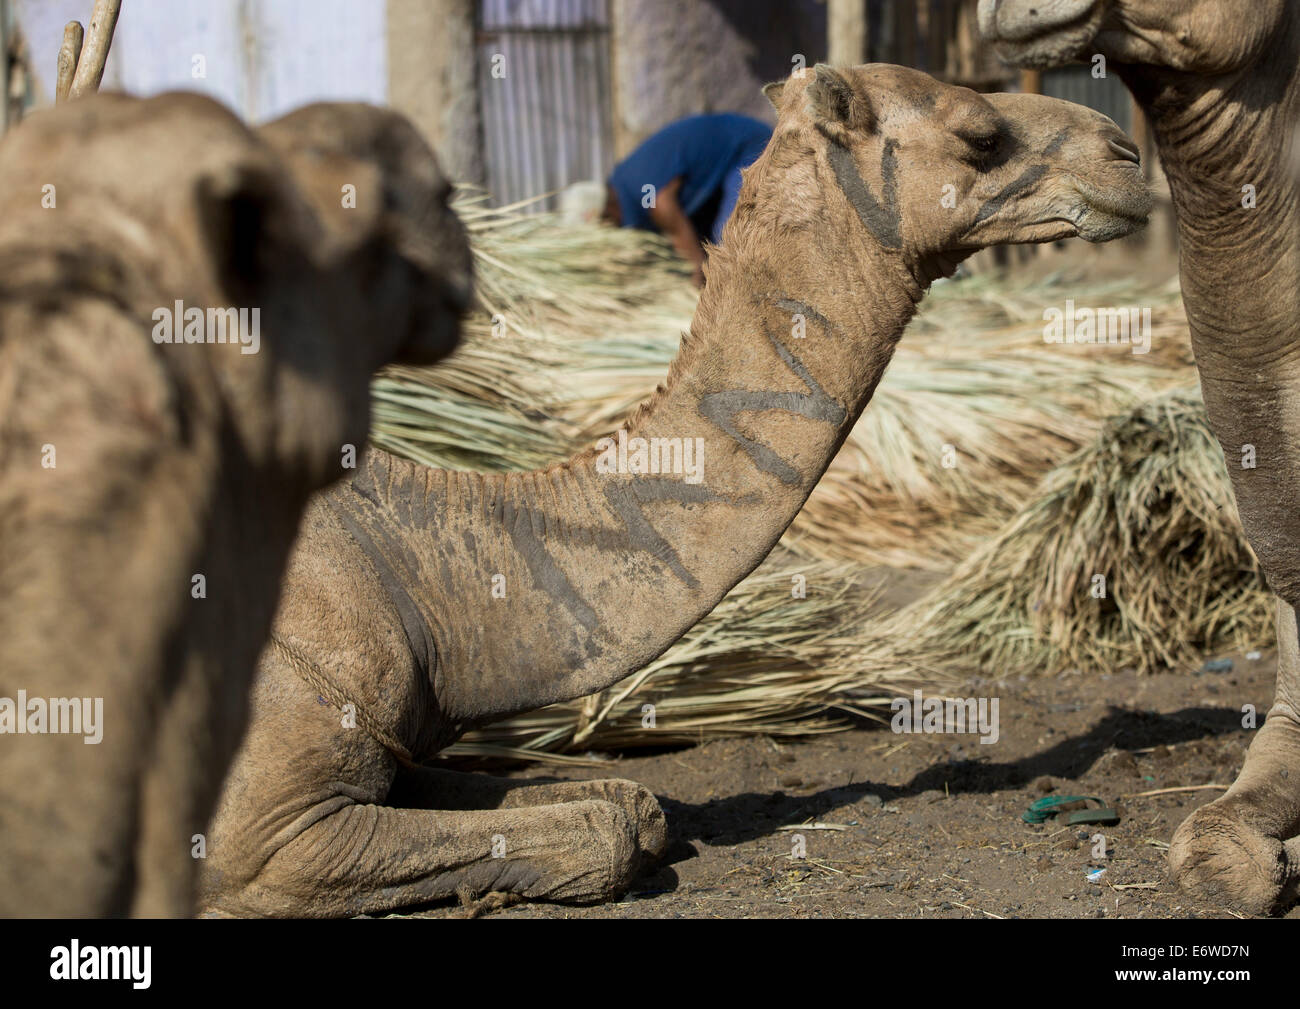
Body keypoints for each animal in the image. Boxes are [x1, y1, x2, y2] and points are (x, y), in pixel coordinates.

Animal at [195, 63, 1149, 917]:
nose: (1127, 154)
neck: (432, 584)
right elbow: (604, 830)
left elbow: (632, 806)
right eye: (980, 136)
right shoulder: (269, 835)